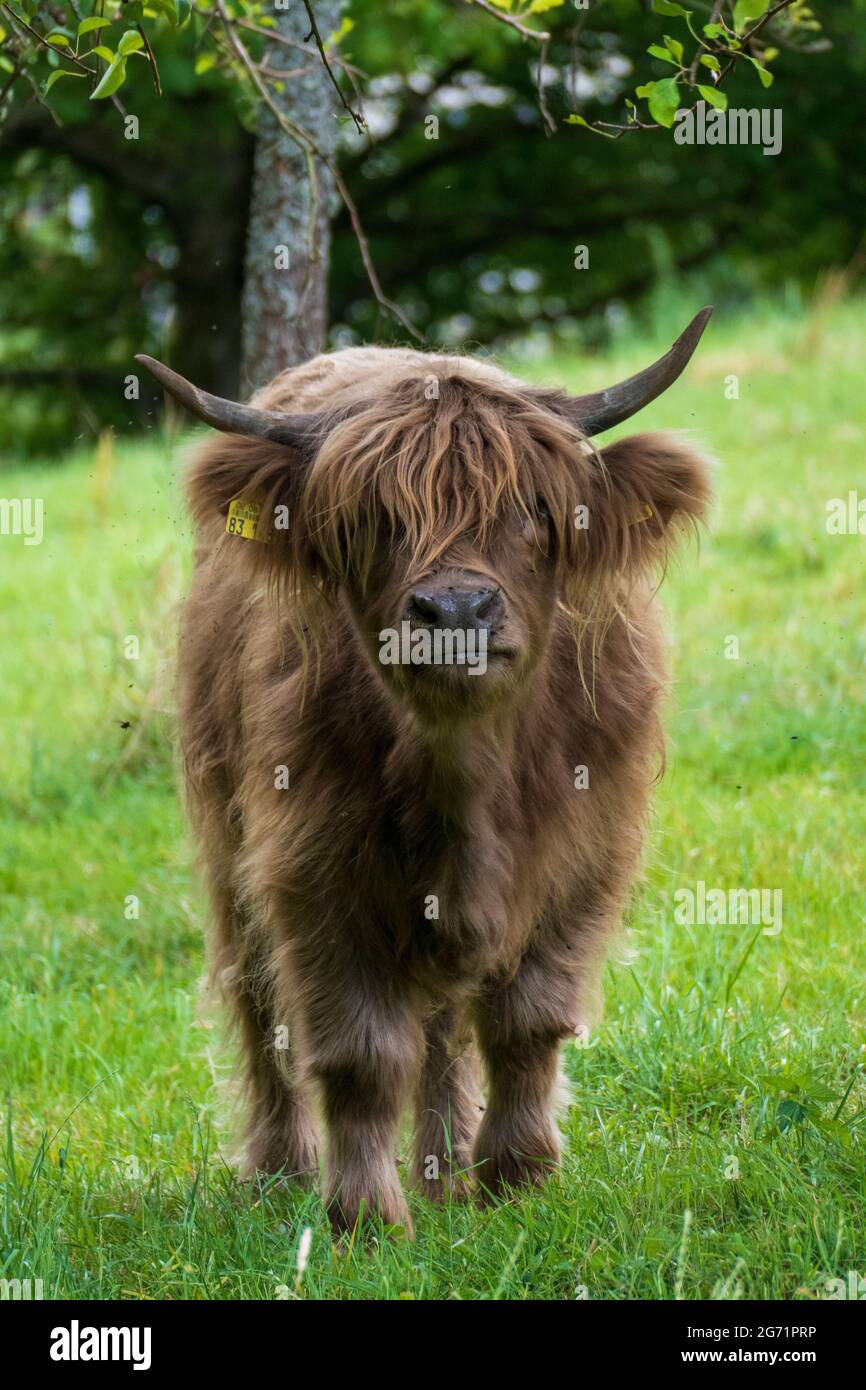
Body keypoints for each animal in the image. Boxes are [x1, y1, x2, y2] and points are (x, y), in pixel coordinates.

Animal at [138, 310, 712, 1236]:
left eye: (534, 508)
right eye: (372, 517)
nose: (455, 611)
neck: (468, 770)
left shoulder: (589, 854)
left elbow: (527, 1021)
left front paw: (517, 1178)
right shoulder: (312, 865)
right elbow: (361, 1053)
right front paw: (366, 1218)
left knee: (444, 1024)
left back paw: (445, 1175)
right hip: (227, 835)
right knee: (257, 997)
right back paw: (280, 1171)